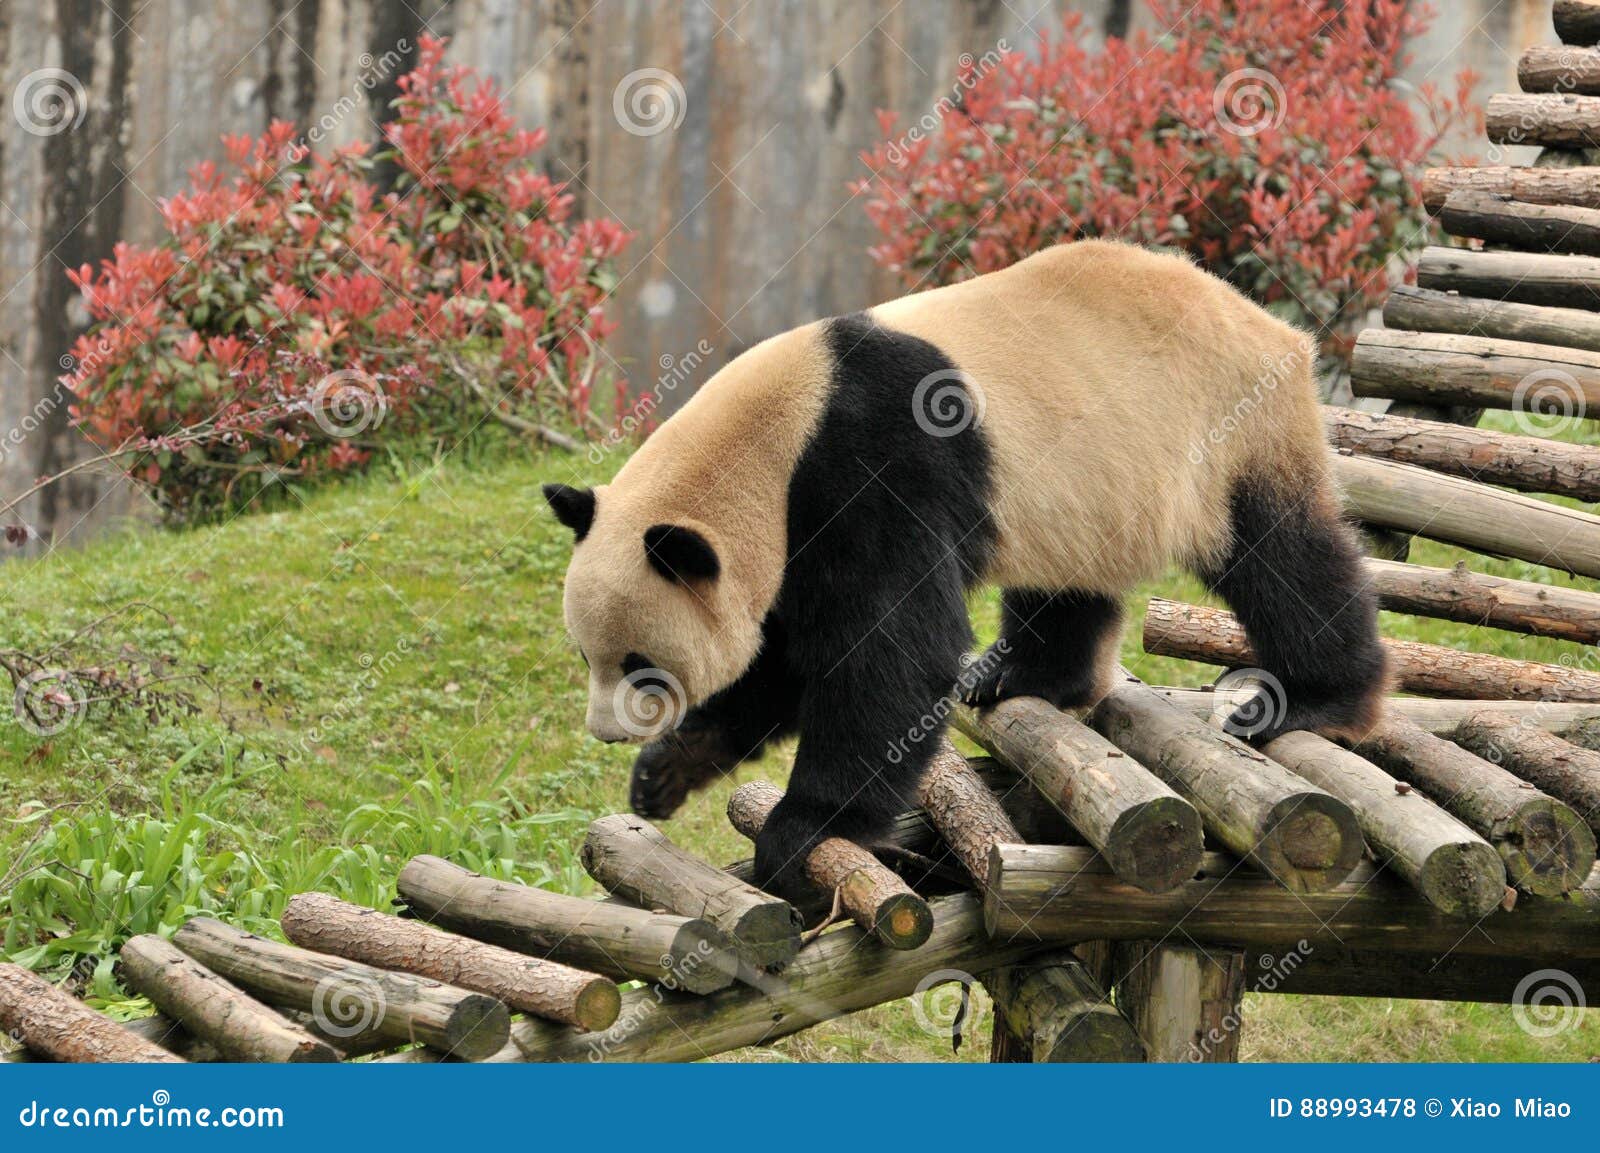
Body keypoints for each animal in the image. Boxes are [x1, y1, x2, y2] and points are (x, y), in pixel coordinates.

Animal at [543, 240, 1388, 892]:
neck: (772, 438)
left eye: (640, 663)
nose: (606, 731)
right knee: (1067, 584)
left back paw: (1317, 698)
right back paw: (1023, 675)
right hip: (1092, 480)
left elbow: (887, 650)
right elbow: (785, 658)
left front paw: (801, 827)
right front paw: (666, 771)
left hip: (1227, 429)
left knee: (1282, 558)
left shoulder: (878, 459)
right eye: (585, 656)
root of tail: (1272, 326)